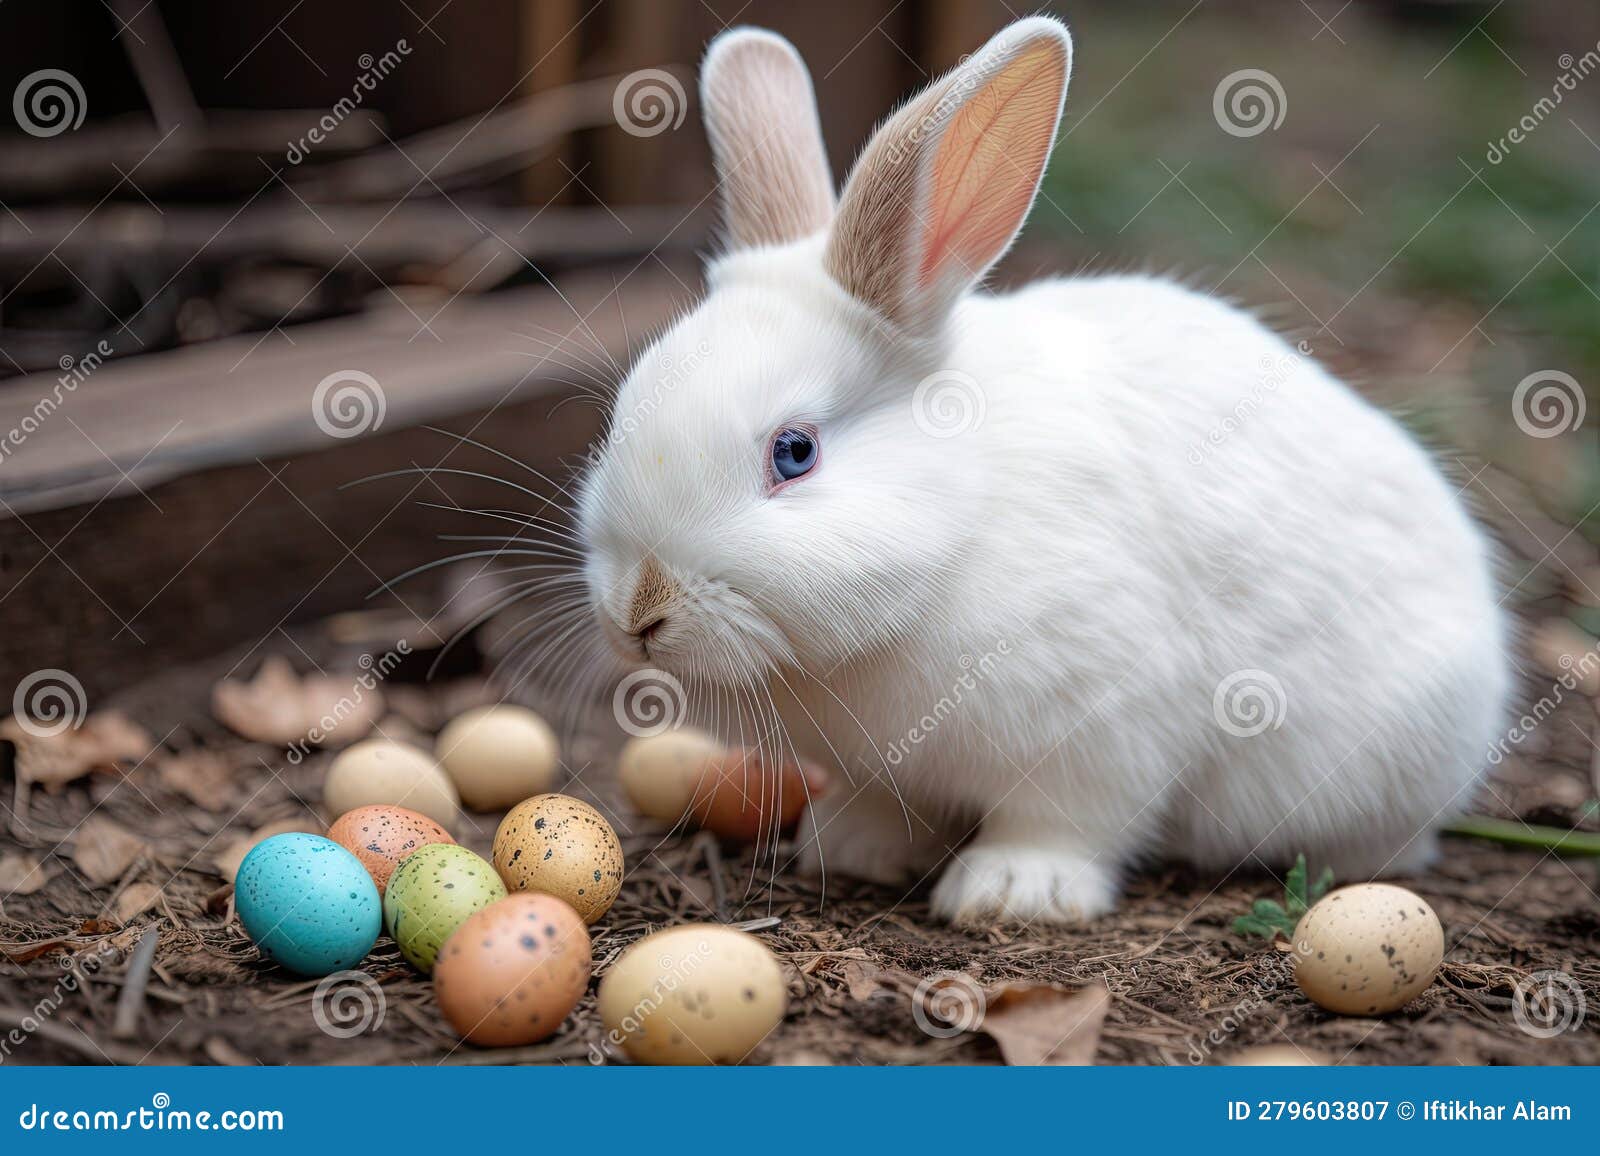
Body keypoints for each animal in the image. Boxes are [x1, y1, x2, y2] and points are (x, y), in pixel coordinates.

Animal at [575, 15, 1509, 925]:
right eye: (623, 409)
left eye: (794, 452)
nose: (639, 610)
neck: (963, 523)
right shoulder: (886, 766)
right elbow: (882, 803)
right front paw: (855, 848)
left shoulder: (1101, 724)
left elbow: (1068, 821)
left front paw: (1014, 892)